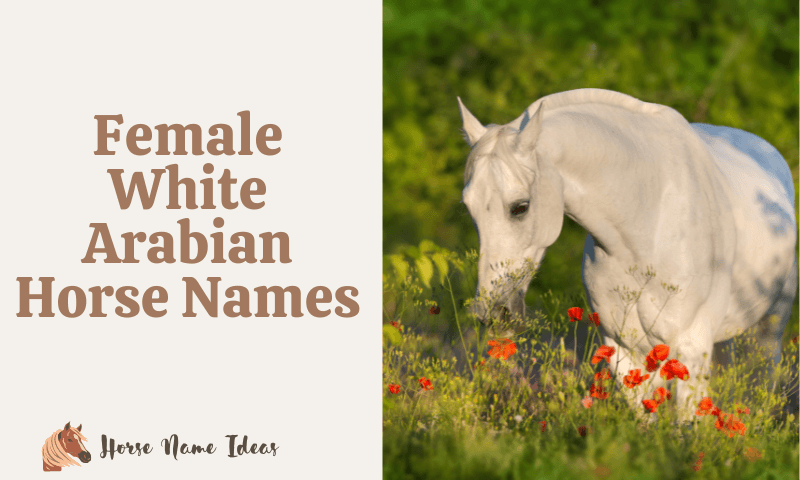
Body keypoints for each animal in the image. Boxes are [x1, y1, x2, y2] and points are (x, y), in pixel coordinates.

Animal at [457, 88, 797, 420]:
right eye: (469, 209)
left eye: (520, 207)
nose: (492, 311)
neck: (647, 223)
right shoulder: (623, 349)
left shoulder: (692, 345)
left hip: (770, 327)